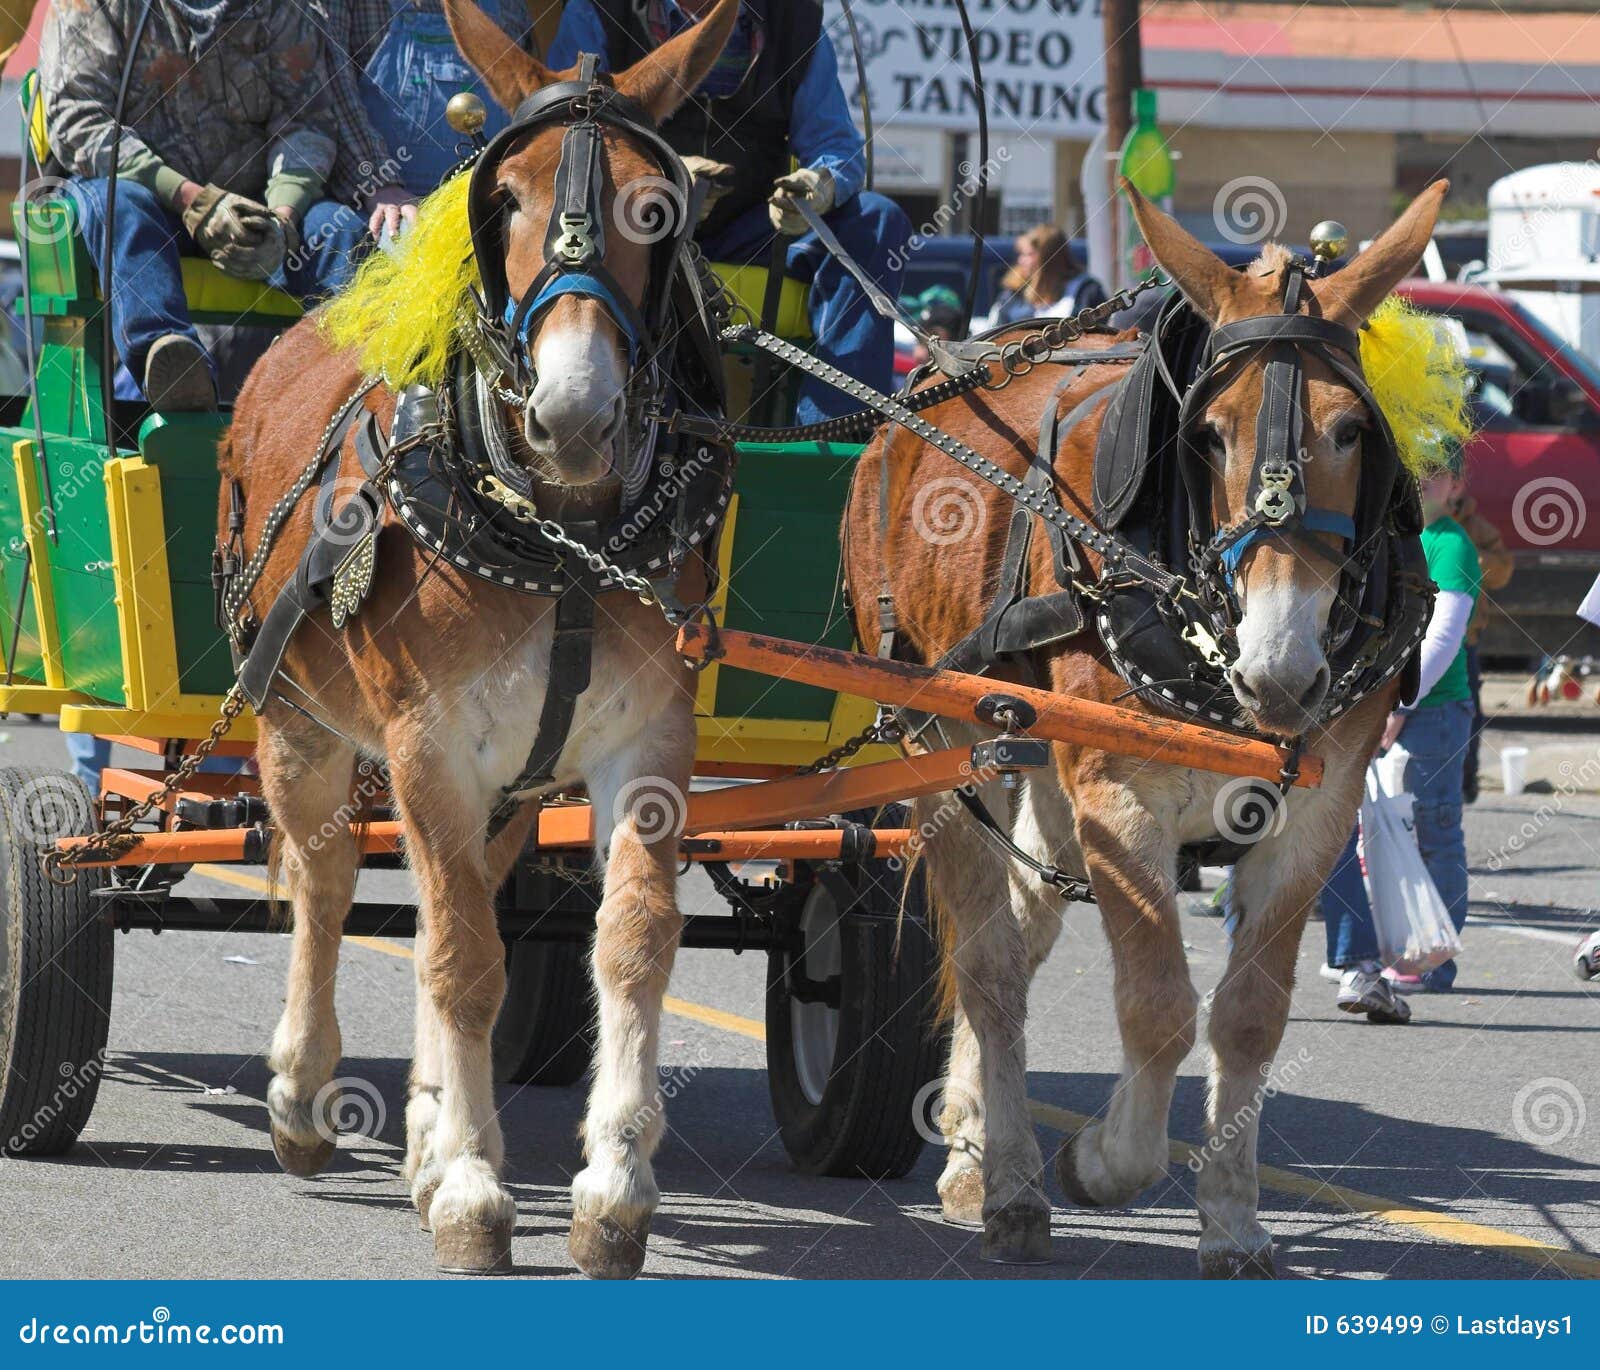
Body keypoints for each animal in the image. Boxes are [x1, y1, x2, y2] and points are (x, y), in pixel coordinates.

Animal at [220, 0, 743, 1278]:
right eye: (501, 198)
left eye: (658, 209)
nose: (573, 412)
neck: (557, 535)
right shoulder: (425, 742)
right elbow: (461, 958)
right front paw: (468, 1189)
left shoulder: (647, 738)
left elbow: (629, 941)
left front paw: (610, 1188)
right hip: (300, 722)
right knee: (325, 881)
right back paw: (303, 1096)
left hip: (510, 783)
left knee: (440, 900)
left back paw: (417, 1130)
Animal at [843, 182, 1450, 1275]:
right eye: (1206, 434)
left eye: (1351, 429)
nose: (1282, 669)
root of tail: (916, 404)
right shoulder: (1119, 797)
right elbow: (1160, 1008)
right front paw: (1104, 1162)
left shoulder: (1316, 809)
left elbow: (1248, 1018)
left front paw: (1234, 1221)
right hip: (938, 742)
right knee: (991, 962)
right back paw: (1008, 1184)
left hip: (1036, 760)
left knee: (1023, 927)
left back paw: (972, 1153)